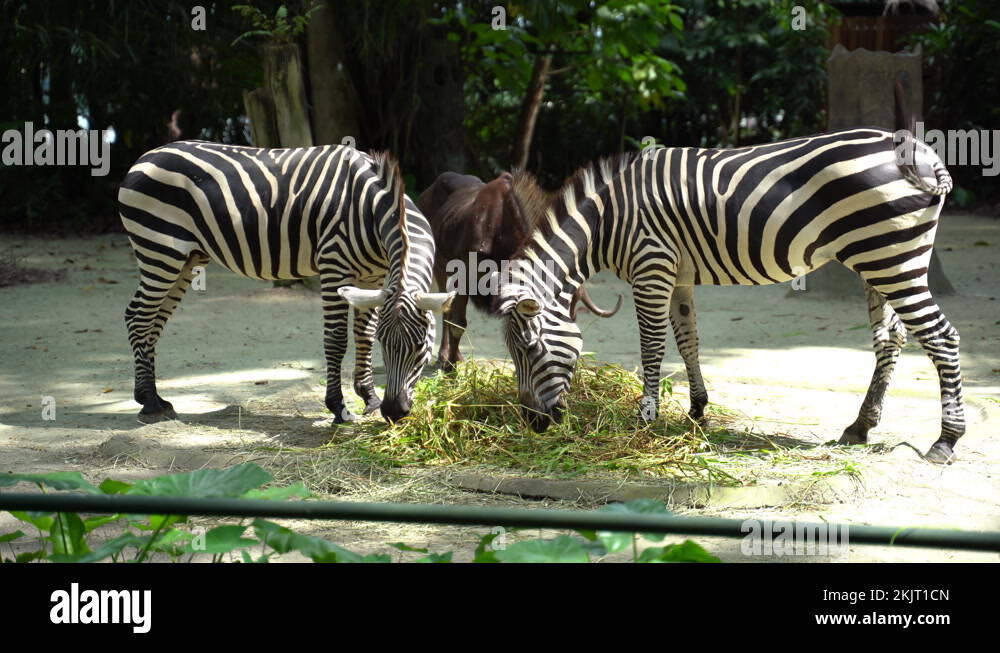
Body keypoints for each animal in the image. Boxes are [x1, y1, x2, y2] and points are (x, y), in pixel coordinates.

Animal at [118, 141, 453, 425]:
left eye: (421, 346)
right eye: (389, 345)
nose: (393, 412)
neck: (374, 212)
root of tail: (145, 157)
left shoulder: (374, 278)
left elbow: (363, 335)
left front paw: (368, 397)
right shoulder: (334, 266)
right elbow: (336, 339)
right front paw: (338, 408)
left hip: (186, 259)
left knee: (153, 321)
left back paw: (153, 398)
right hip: (160, 250)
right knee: (138, 317)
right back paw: (150, 403)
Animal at [492, 127, 964, 464]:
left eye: (529, 350)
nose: (534, 424)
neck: (608, 221)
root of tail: (917, 149)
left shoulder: (651, 267)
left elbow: (651, 346)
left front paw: (645, 419)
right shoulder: (677, 275)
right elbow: (688, 341)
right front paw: (697, 409)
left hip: (891, 260)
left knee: (942, 338)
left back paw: (945, 442)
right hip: (879, 262)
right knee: (891, 339)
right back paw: (860, 427)